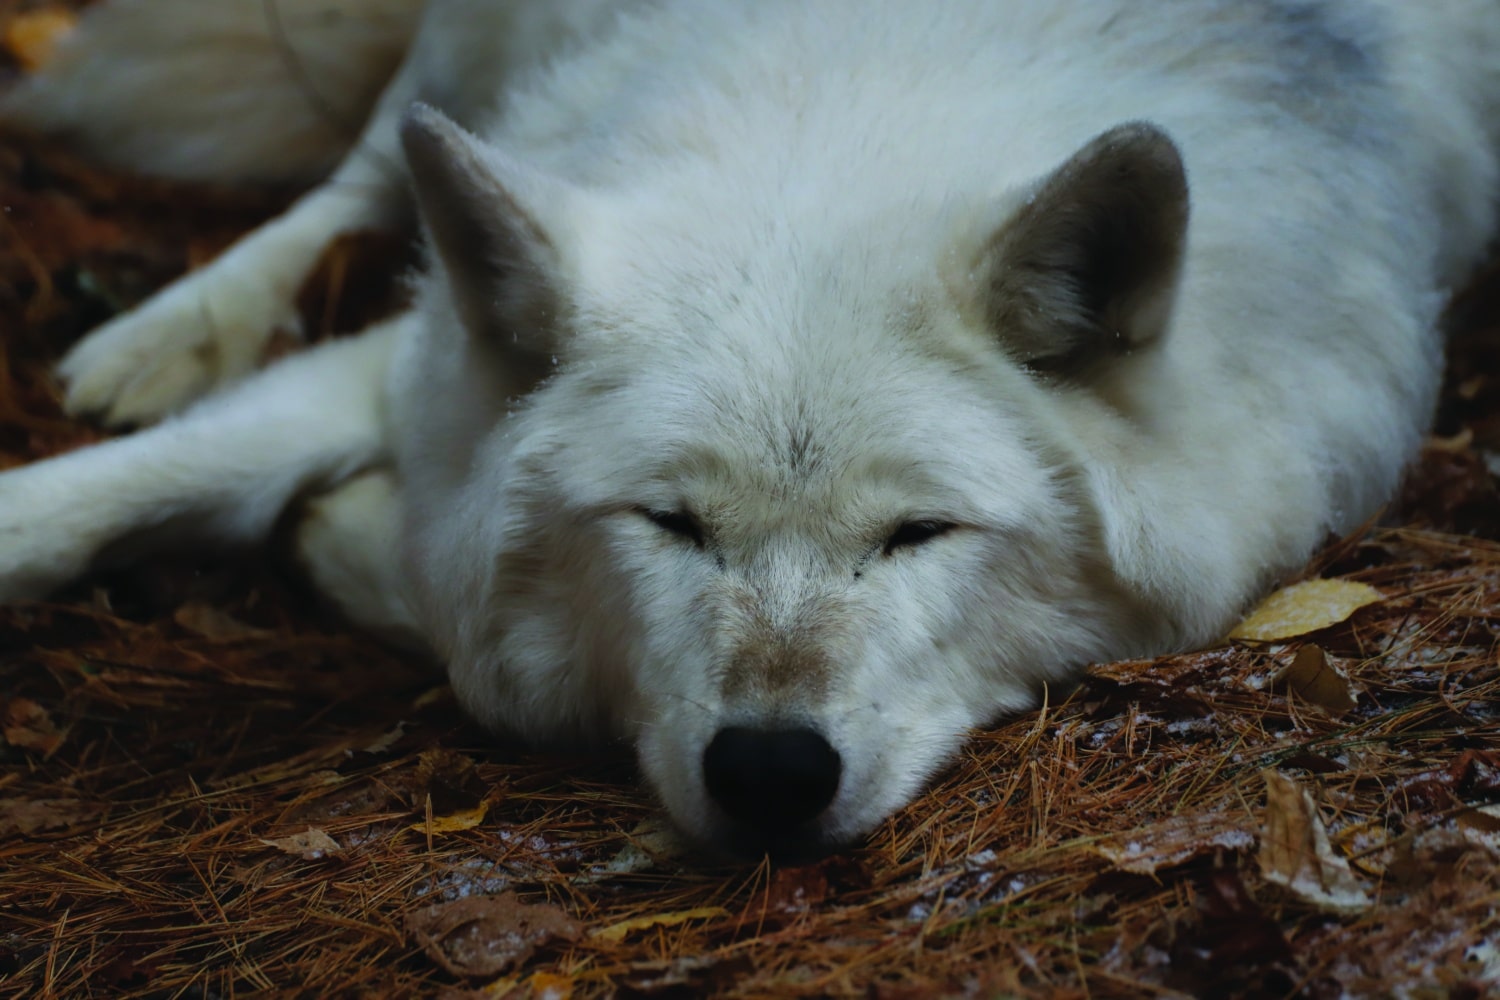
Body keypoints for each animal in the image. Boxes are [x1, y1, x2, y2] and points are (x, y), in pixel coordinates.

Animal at [0, 0, 1497, 855]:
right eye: (669, 522)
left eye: (919, 531)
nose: (771, 767)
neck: (865, 97)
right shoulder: (420, 368)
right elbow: (169, 471)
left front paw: (342, 531)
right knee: (367, 166)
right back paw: (165, 333)